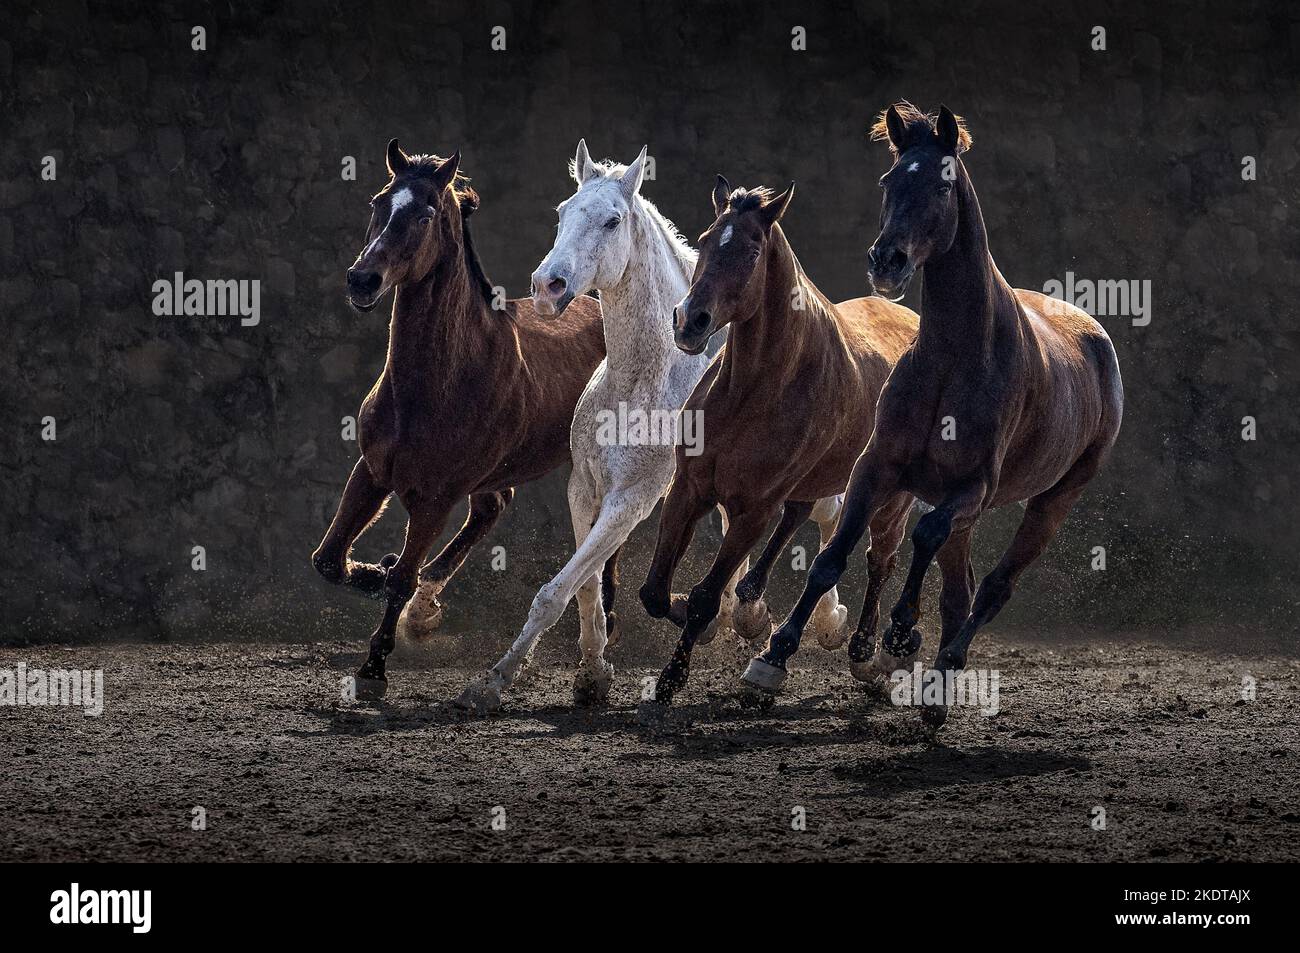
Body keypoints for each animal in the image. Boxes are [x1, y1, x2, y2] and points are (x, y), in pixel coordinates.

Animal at [310, 139, 607, 699]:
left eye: (425, 214)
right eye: (378, 202)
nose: (362, 280)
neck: (430, 388)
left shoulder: (436, 497)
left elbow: (401, 579)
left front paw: (373, 668)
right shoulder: (372, 472)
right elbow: (330, 560)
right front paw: (377, 575)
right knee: (492, 507)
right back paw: (424, 608)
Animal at [455, 142, 736, 713]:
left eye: (612, 220)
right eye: (563, 213)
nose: (548, 287)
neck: (643, 379)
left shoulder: (633, 499)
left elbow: (554, 592)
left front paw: (492, 683)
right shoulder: (584, 488)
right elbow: (583, 583)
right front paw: (593, 674)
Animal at [640, 177, 932, 708]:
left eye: (752, 250)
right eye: (706, 239)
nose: (689, 321)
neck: (754, 388)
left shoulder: (753, 509)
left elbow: (705, 598)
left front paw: (674, 674)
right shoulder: (688, 488)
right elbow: (654, 592)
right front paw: (719, 618)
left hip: (890, 498)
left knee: (880, 558)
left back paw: (863, 655)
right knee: (798, 516)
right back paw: (753, 605)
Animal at [744, 104, 1124, 729]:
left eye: (942, 185)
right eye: (889, 181)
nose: (887, 260)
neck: (953, 358)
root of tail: (1096, 338)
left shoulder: (972, 486)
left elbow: (922, 536)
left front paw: (900, 631)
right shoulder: (878, 466)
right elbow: (831, 558)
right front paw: (772, 659)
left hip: (1053, 500)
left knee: (991, 589)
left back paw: (942, 671)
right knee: (959, 591)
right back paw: (936, 690)